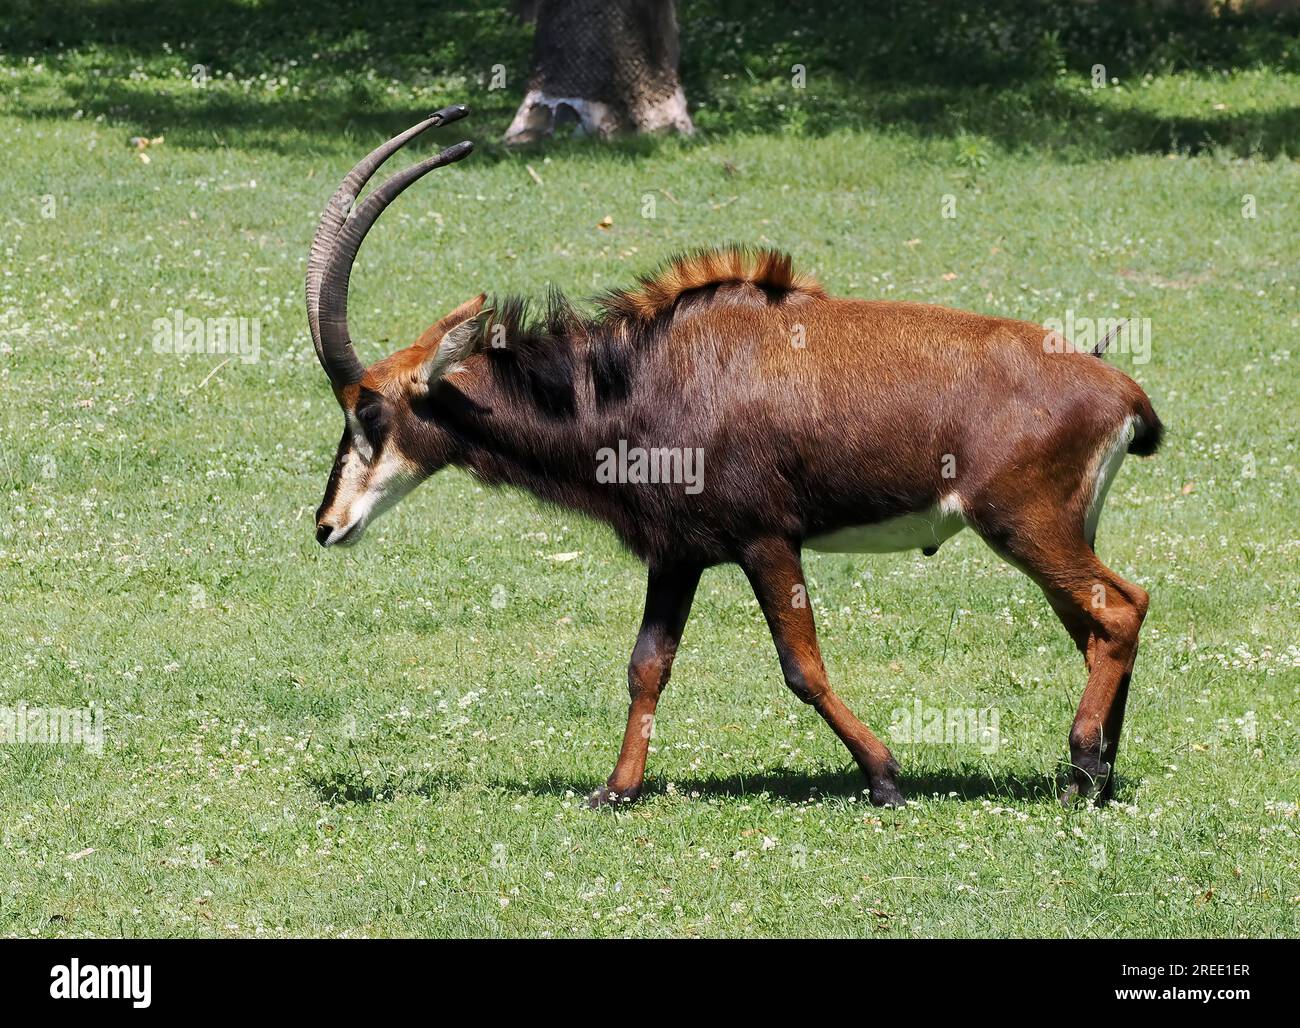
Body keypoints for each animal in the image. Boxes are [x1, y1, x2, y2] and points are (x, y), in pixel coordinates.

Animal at [308, 105, 1163, 809]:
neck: (637, 379)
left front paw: (885, 776)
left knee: (1120, 608)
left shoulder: (766, 540)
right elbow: (646, 664)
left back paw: (1083, 770)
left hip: (1024, 525)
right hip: (1056, 531)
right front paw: (616, 790)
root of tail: (1120, 389)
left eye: (369, 409)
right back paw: (1098, 772)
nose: (326, 526)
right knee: (1100, 623)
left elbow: (802, 666)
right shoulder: (677, 555)